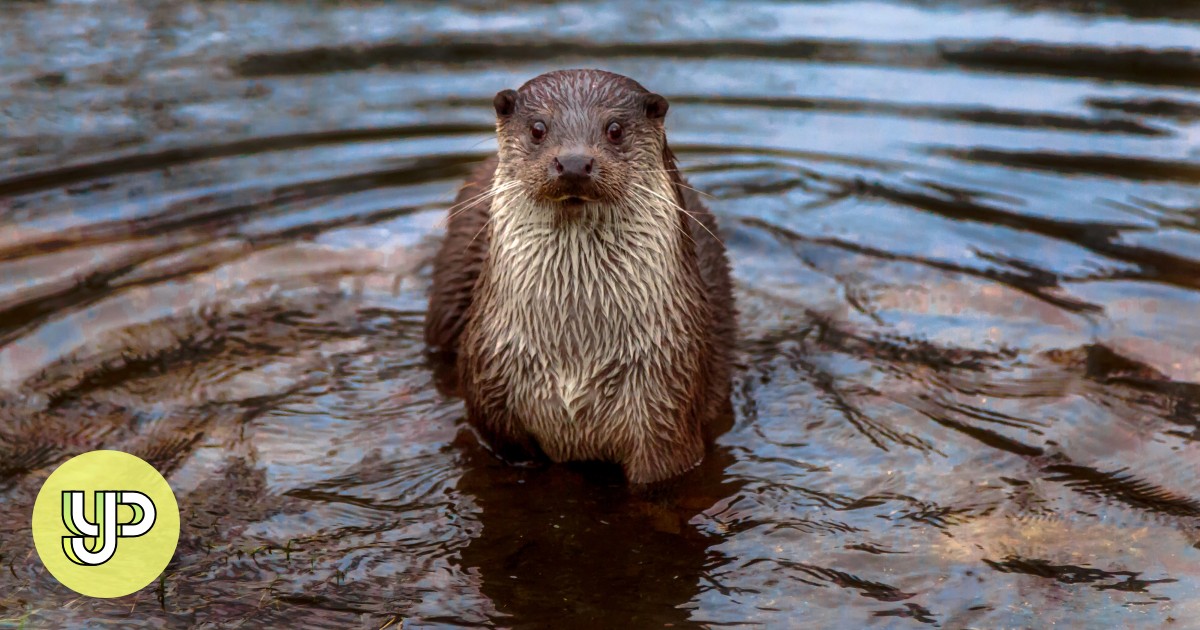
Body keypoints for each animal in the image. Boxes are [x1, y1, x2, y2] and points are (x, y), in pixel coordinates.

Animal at [425, 69, 735, 484]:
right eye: (538, 128)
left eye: (615, 129)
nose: (574, 162)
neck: (575, 354)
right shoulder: (491, 399)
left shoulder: (668, 406)